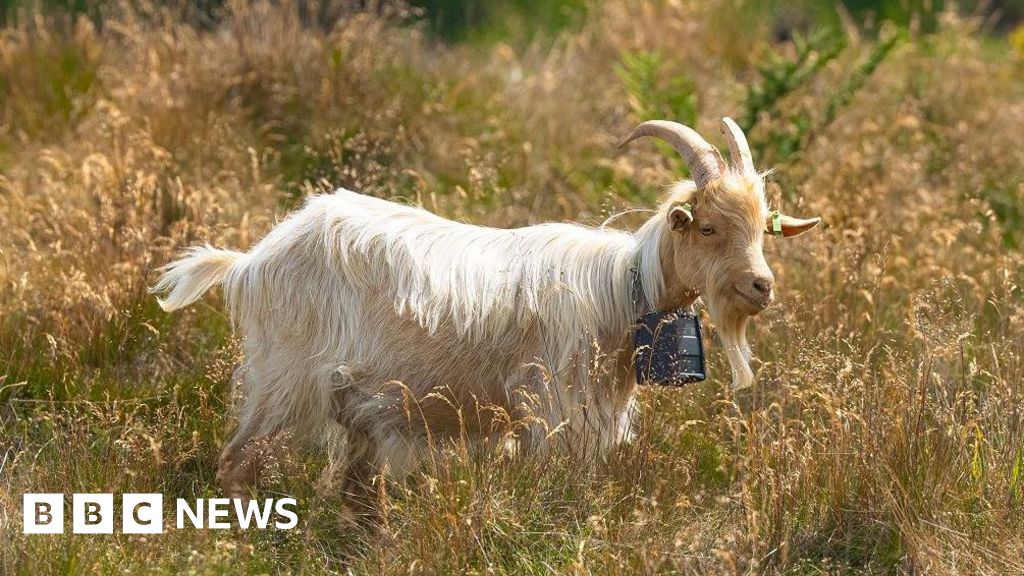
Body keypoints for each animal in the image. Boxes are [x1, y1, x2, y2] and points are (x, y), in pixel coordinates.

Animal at [152, 117, 820, 519]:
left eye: (762, 229)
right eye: (707, 228)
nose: (761, 286)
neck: (617, 292)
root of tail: (250, 262)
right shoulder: (557, 411)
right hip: (284, 380)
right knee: (237, 465)